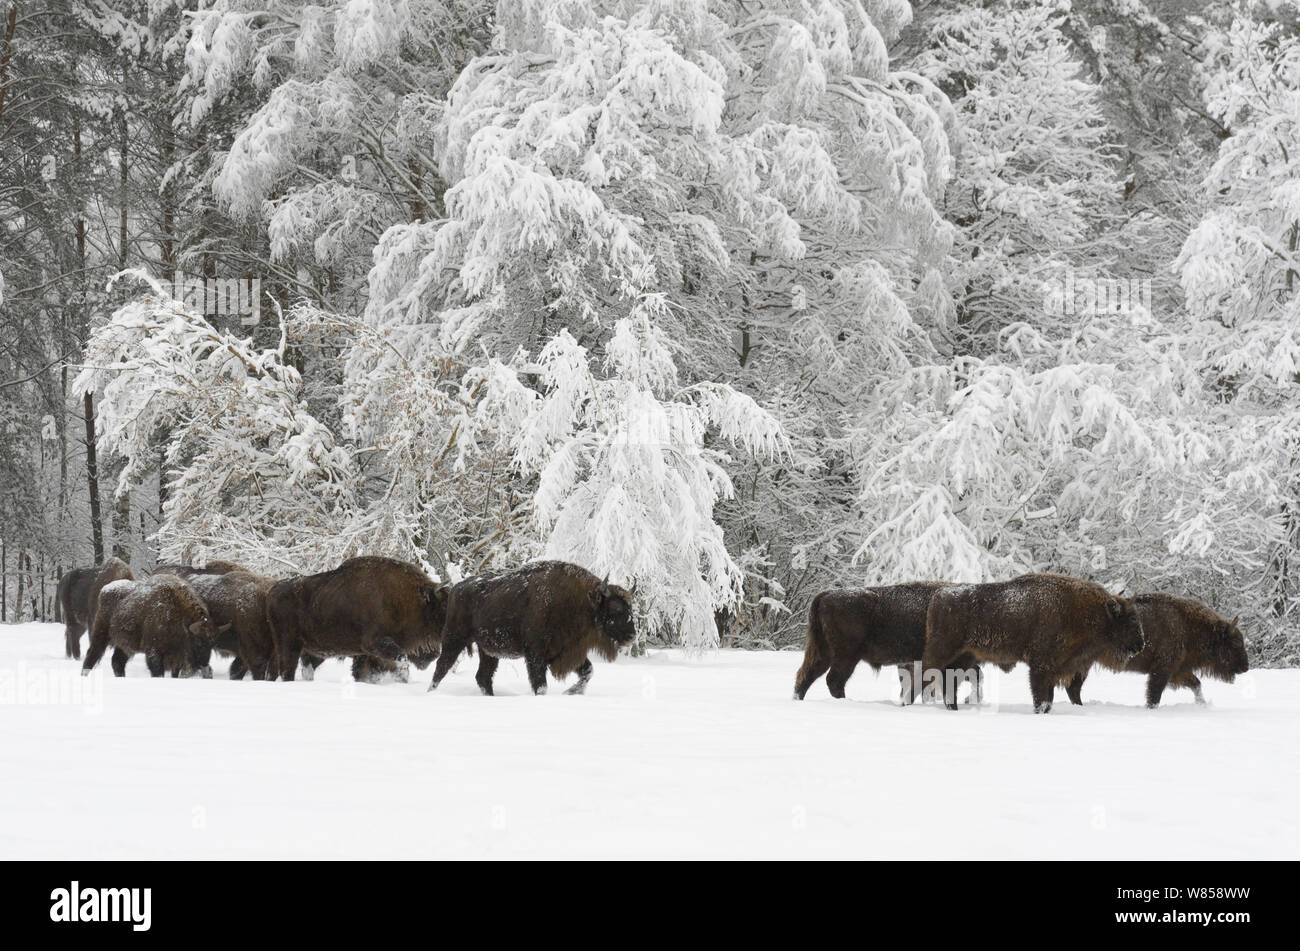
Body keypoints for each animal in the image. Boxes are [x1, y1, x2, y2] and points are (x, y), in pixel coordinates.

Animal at [81, 574, 217, 678]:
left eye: (211, 643)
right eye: (198, 641)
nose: (204, 666)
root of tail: (105, 589)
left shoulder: (176, 658)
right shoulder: (154, 651)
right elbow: (158, 672)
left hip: (125, 645)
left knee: (117, 661)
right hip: (101, 634)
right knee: (93, 654)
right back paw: (84, 674)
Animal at [266, 556, 448, 682]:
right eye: (443, 607)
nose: (433, 655)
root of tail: (272, 590)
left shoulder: (364, 654)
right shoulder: (375, 644)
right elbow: (400, 661)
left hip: (314, 650)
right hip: (289, 645)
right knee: (287, 670)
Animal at [426, 561, 636, 696]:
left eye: (630, 609)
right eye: (615, 609)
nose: (631, 636)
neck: (580, 602)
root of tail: (456, 589)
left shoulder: (568, 653)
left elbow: (588, 671)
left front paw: (571, 692)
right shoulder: (536, 655)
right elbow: (540, 685)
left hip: (488, 651)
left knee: (483, 676)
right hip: (454, 640)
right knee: (441, 668)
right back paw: (430, 693)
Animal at [922, 573, 1145, 713]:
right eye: (1132, 619)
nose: (1140, 645)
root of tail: (938, 596)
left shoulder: (1058, 669)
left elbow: (1050, 697)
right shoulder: (1041, 666)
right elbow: (1042, 697)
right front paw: (1039, 711)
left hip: (967, 656)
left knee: (949, 681)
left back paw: (953, 708)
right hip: (941, 651)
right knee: (925, 674)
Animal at [1066, 593, 1249, 708]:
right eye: (1235, 643)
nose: (1245, 667)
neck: (1187, 625)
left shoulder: (1179, 670)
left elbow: (1196, 684)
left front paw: (1202, 705)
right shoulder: (1163, 669)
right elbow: (1155, 693)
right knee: (1073, 687)